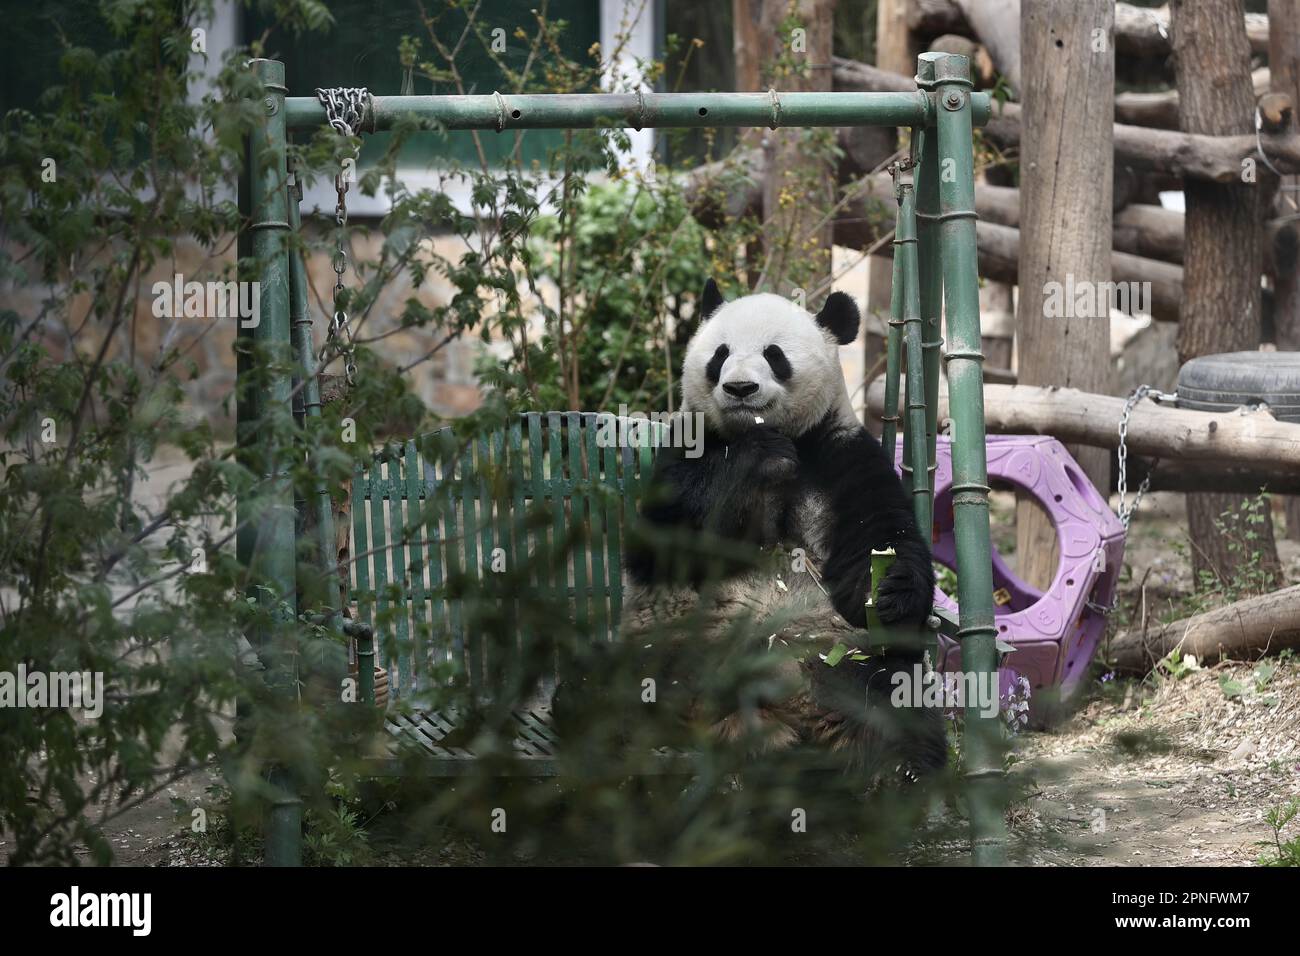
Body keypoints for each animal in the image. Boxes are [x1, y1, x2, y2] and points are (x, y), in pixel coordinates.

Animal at [618, 279, 945, 778]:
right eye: (720, 355)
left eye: (774, 355)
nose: (740, 388)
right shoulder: (683, 453)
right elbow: (663, 543)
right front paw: (760, 459)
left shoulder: (841, 456)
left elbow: (880, 538)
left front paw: (889, 589)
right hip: (669, 642)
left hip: (844, 655)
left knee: (898, 702)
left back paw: (900, 772)